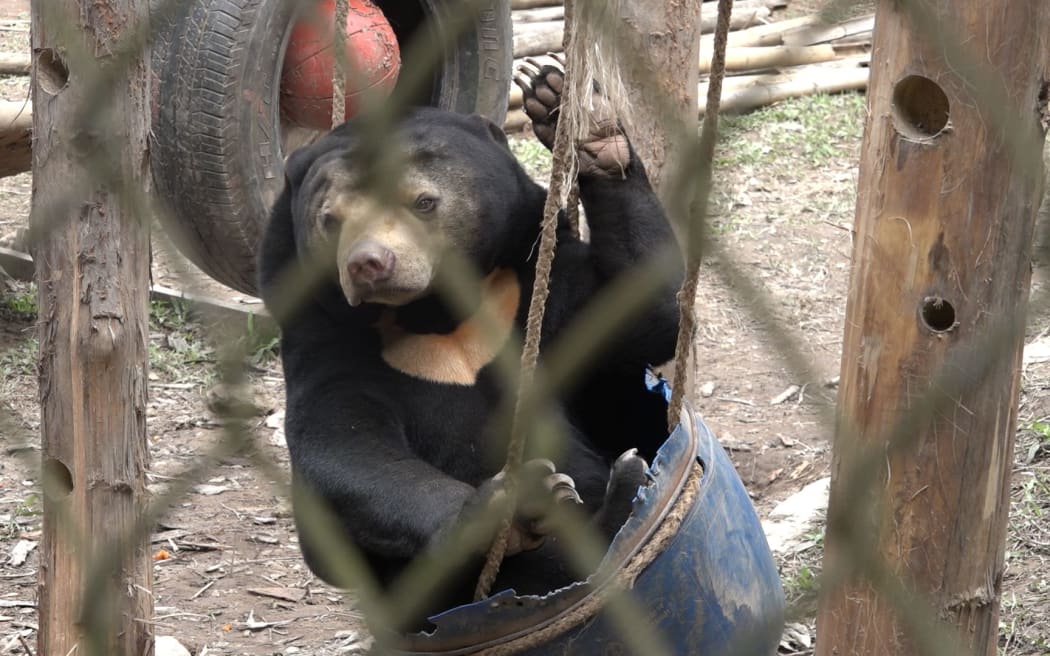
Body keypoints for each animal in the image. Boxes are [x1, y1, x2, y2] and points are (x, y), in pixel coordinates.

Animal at [258, 63, 684, 630]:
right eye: (330, 219)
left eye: (423, 202)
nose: (368, 264)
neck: (436, 314)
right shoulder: (326, 340)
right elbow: (337, 446)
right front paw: (514, 505)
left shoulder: (540, 291)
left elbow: (647, 310)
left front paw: (574, 114)